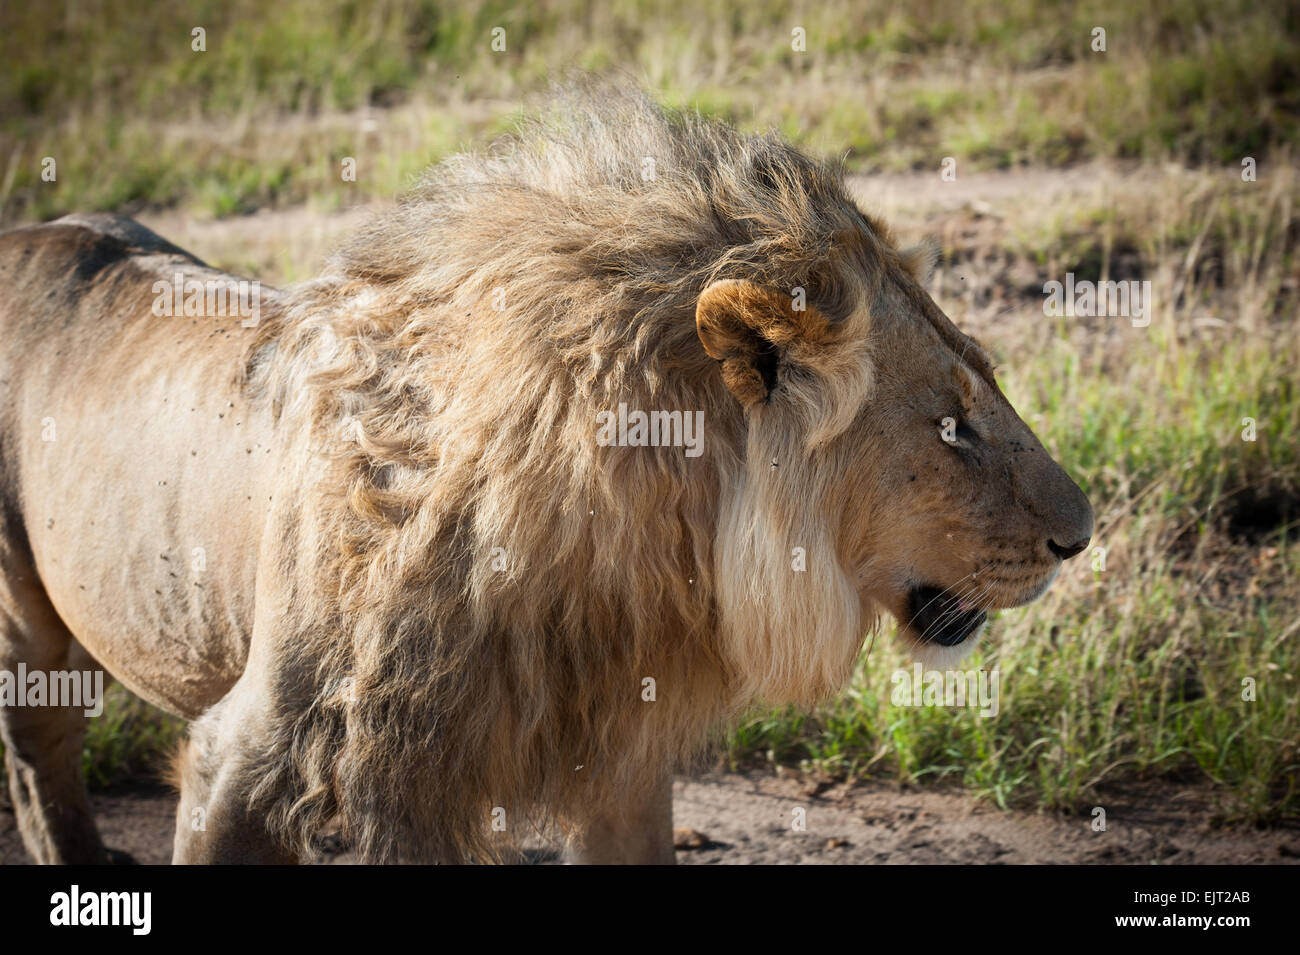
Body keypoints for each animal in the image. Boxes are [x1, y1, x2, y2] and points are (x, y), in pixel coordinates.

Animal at [0, 85, 1091, 864]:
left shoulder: (616, 769)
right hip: (29, 621)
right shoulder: (251, 759)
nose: (1080, 539)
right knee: (38, 750)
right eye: (950, 425)